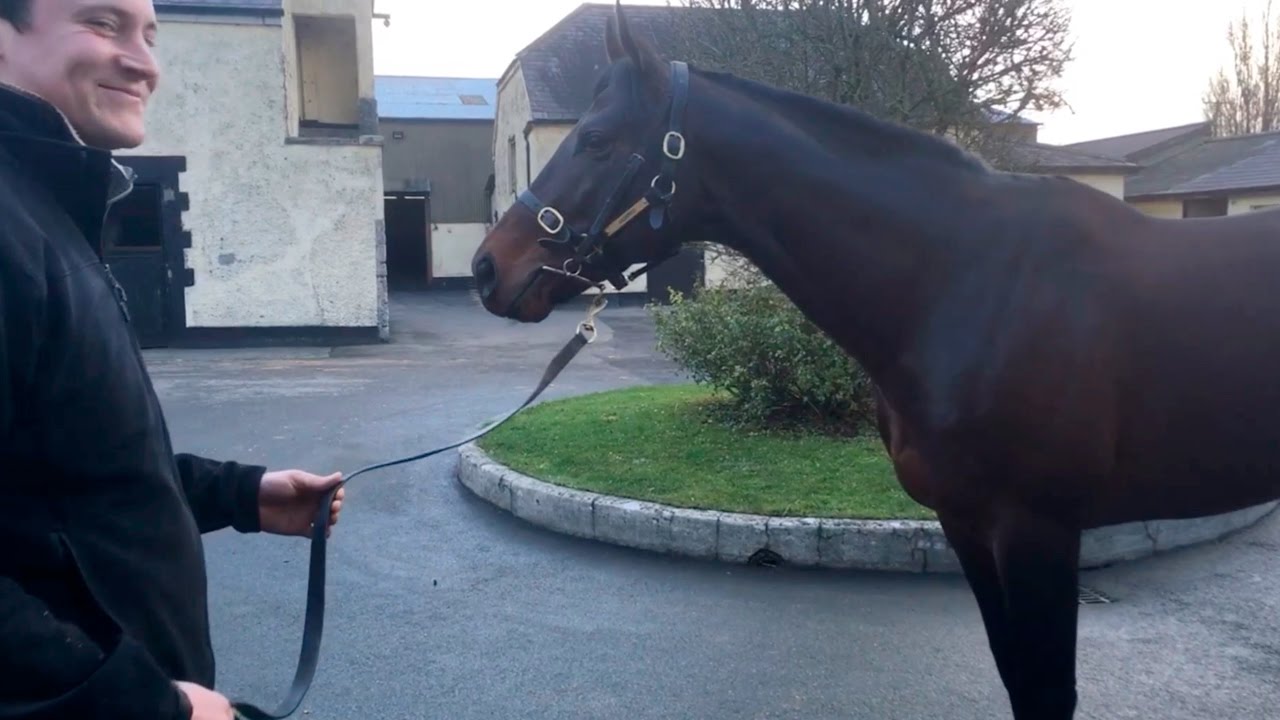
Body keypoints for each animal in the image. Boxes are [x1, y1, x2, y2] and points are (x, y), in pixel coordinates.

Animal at [470, 3, 1280, 717]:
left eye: (597, 140)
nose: (487, 269)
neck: (967, 281)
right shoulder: (966, 523)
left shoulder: (1039, 530)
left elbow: (1047, 693)